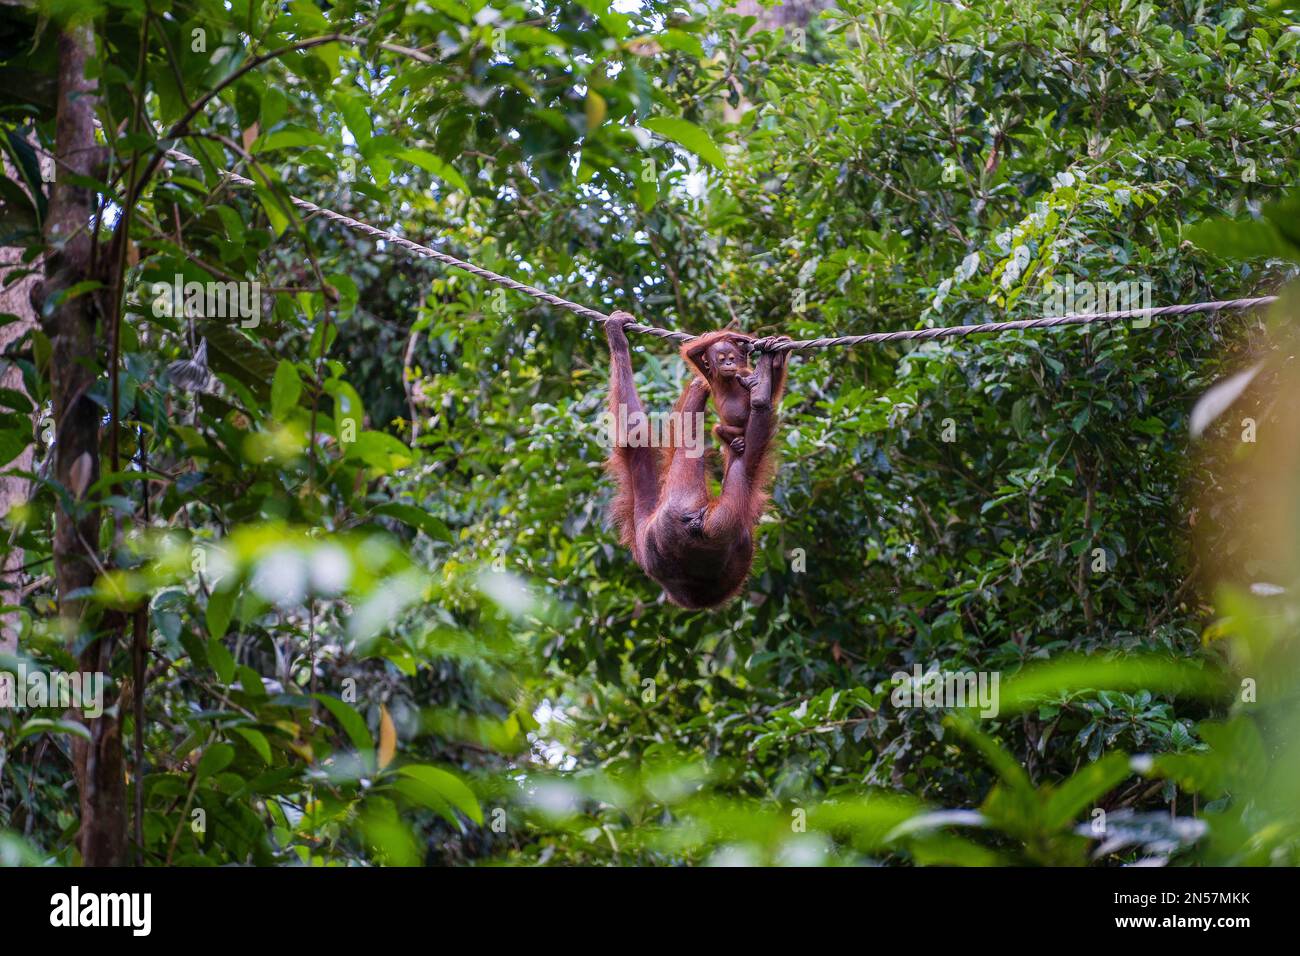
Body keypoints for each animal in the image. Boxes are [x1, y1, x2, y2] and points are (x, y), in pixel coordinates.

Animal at [604, 310, 790, 608]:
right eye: (723, 359)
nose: (729, 362)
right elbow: (635, 435)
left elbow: (634, 437)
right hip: (691, 499)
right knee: (741, 463)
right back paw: (757, 391)